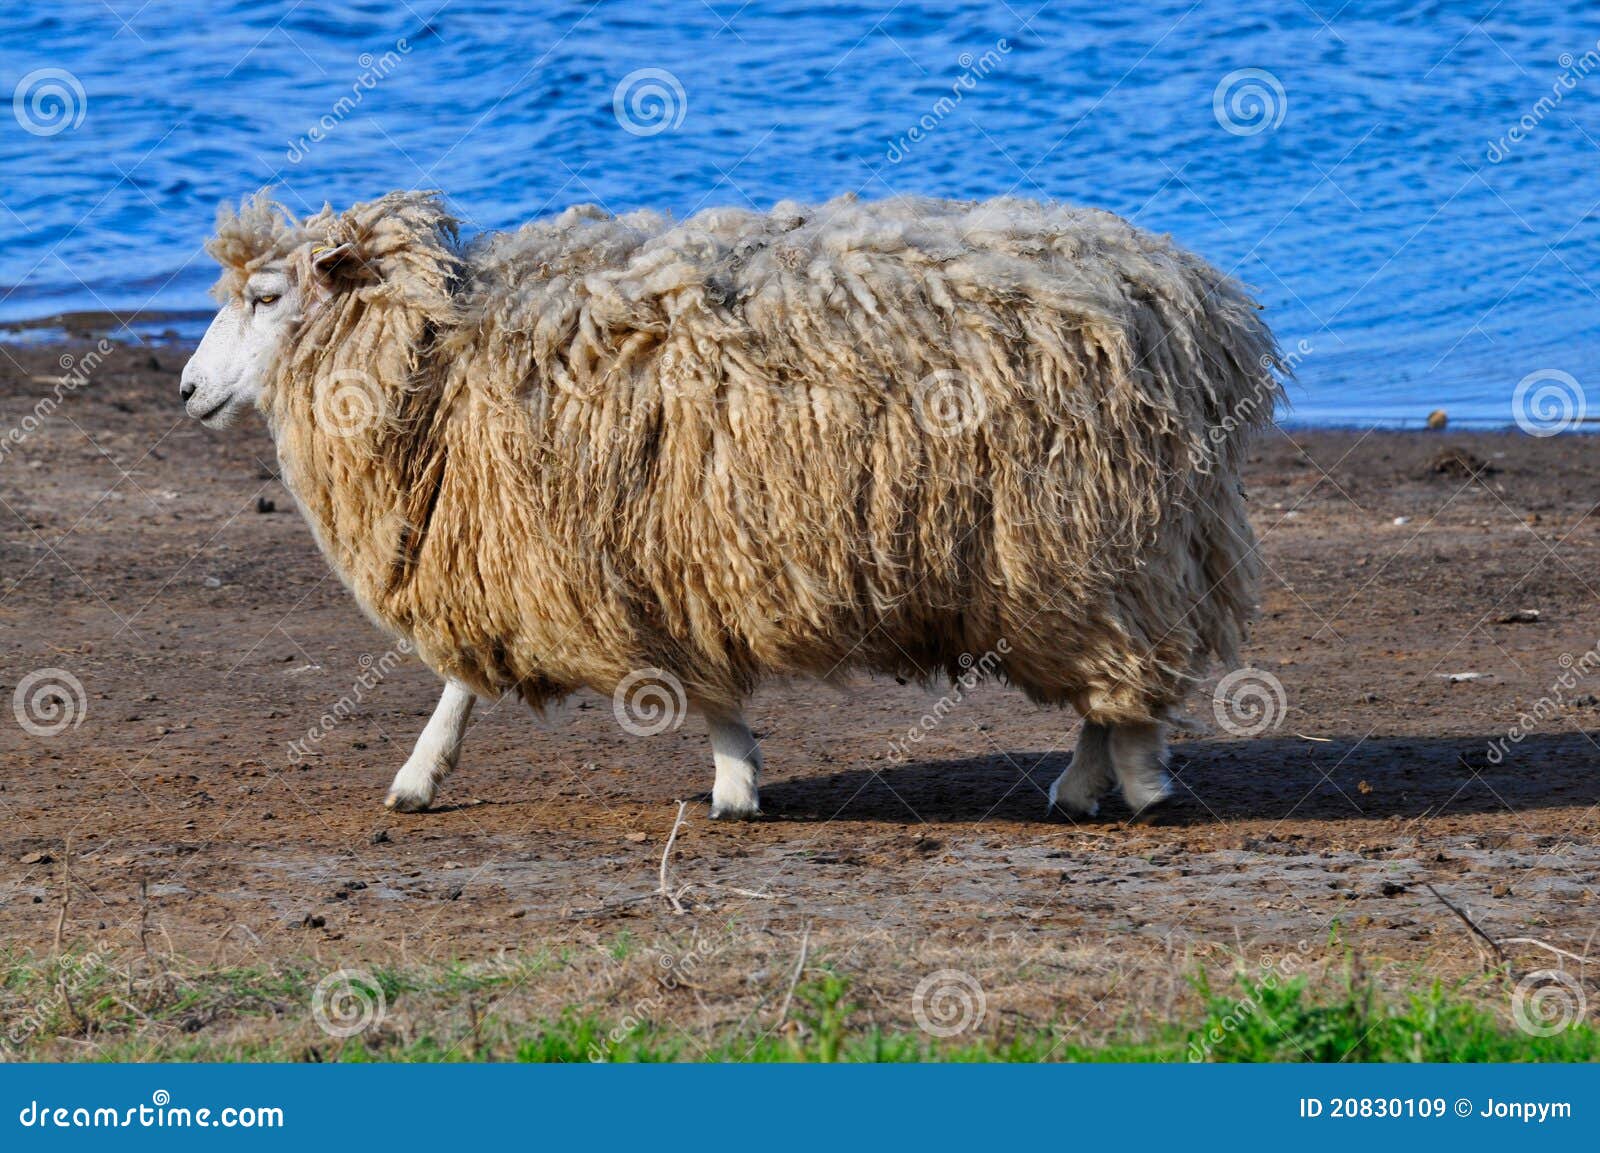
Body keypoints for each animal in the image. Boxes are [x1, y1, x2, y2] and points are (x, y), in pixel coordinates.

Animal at [180, 189, 1283, 821]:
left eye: (266, 298)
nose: (186, 390)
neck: (435, 357)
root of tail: (1198, 303)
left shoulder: (590, 550)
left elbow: (677, 686)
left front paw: (734, 783)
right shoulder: (556, 551)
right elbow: (464, 681)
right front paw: (421, 776)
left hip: (1094, 533)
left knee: (1128, 671)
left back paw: (1135, 781)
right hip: (1094, 549)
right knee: (1114, 672)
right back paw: (1087, 782)